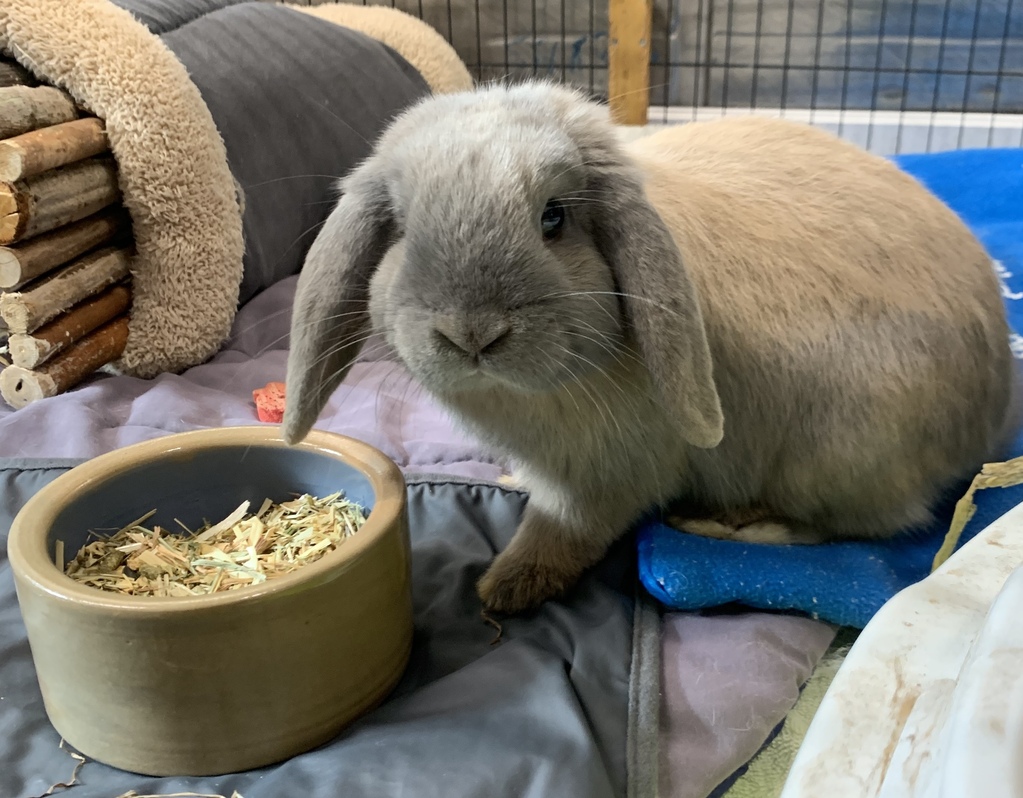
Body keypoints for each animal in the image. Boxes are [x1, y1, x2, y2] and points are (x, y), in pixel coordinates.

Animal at [282, 81, 1018, 614]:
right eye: (402, 228)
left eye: (554, 219)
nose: (472, 333)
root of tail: (988, 419)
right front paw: (509, 483)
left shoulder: (601, 479)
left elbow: (559, 534)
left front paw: (506, 589)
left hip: (837, 457)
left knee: (849, 528)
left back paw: (728, 524)